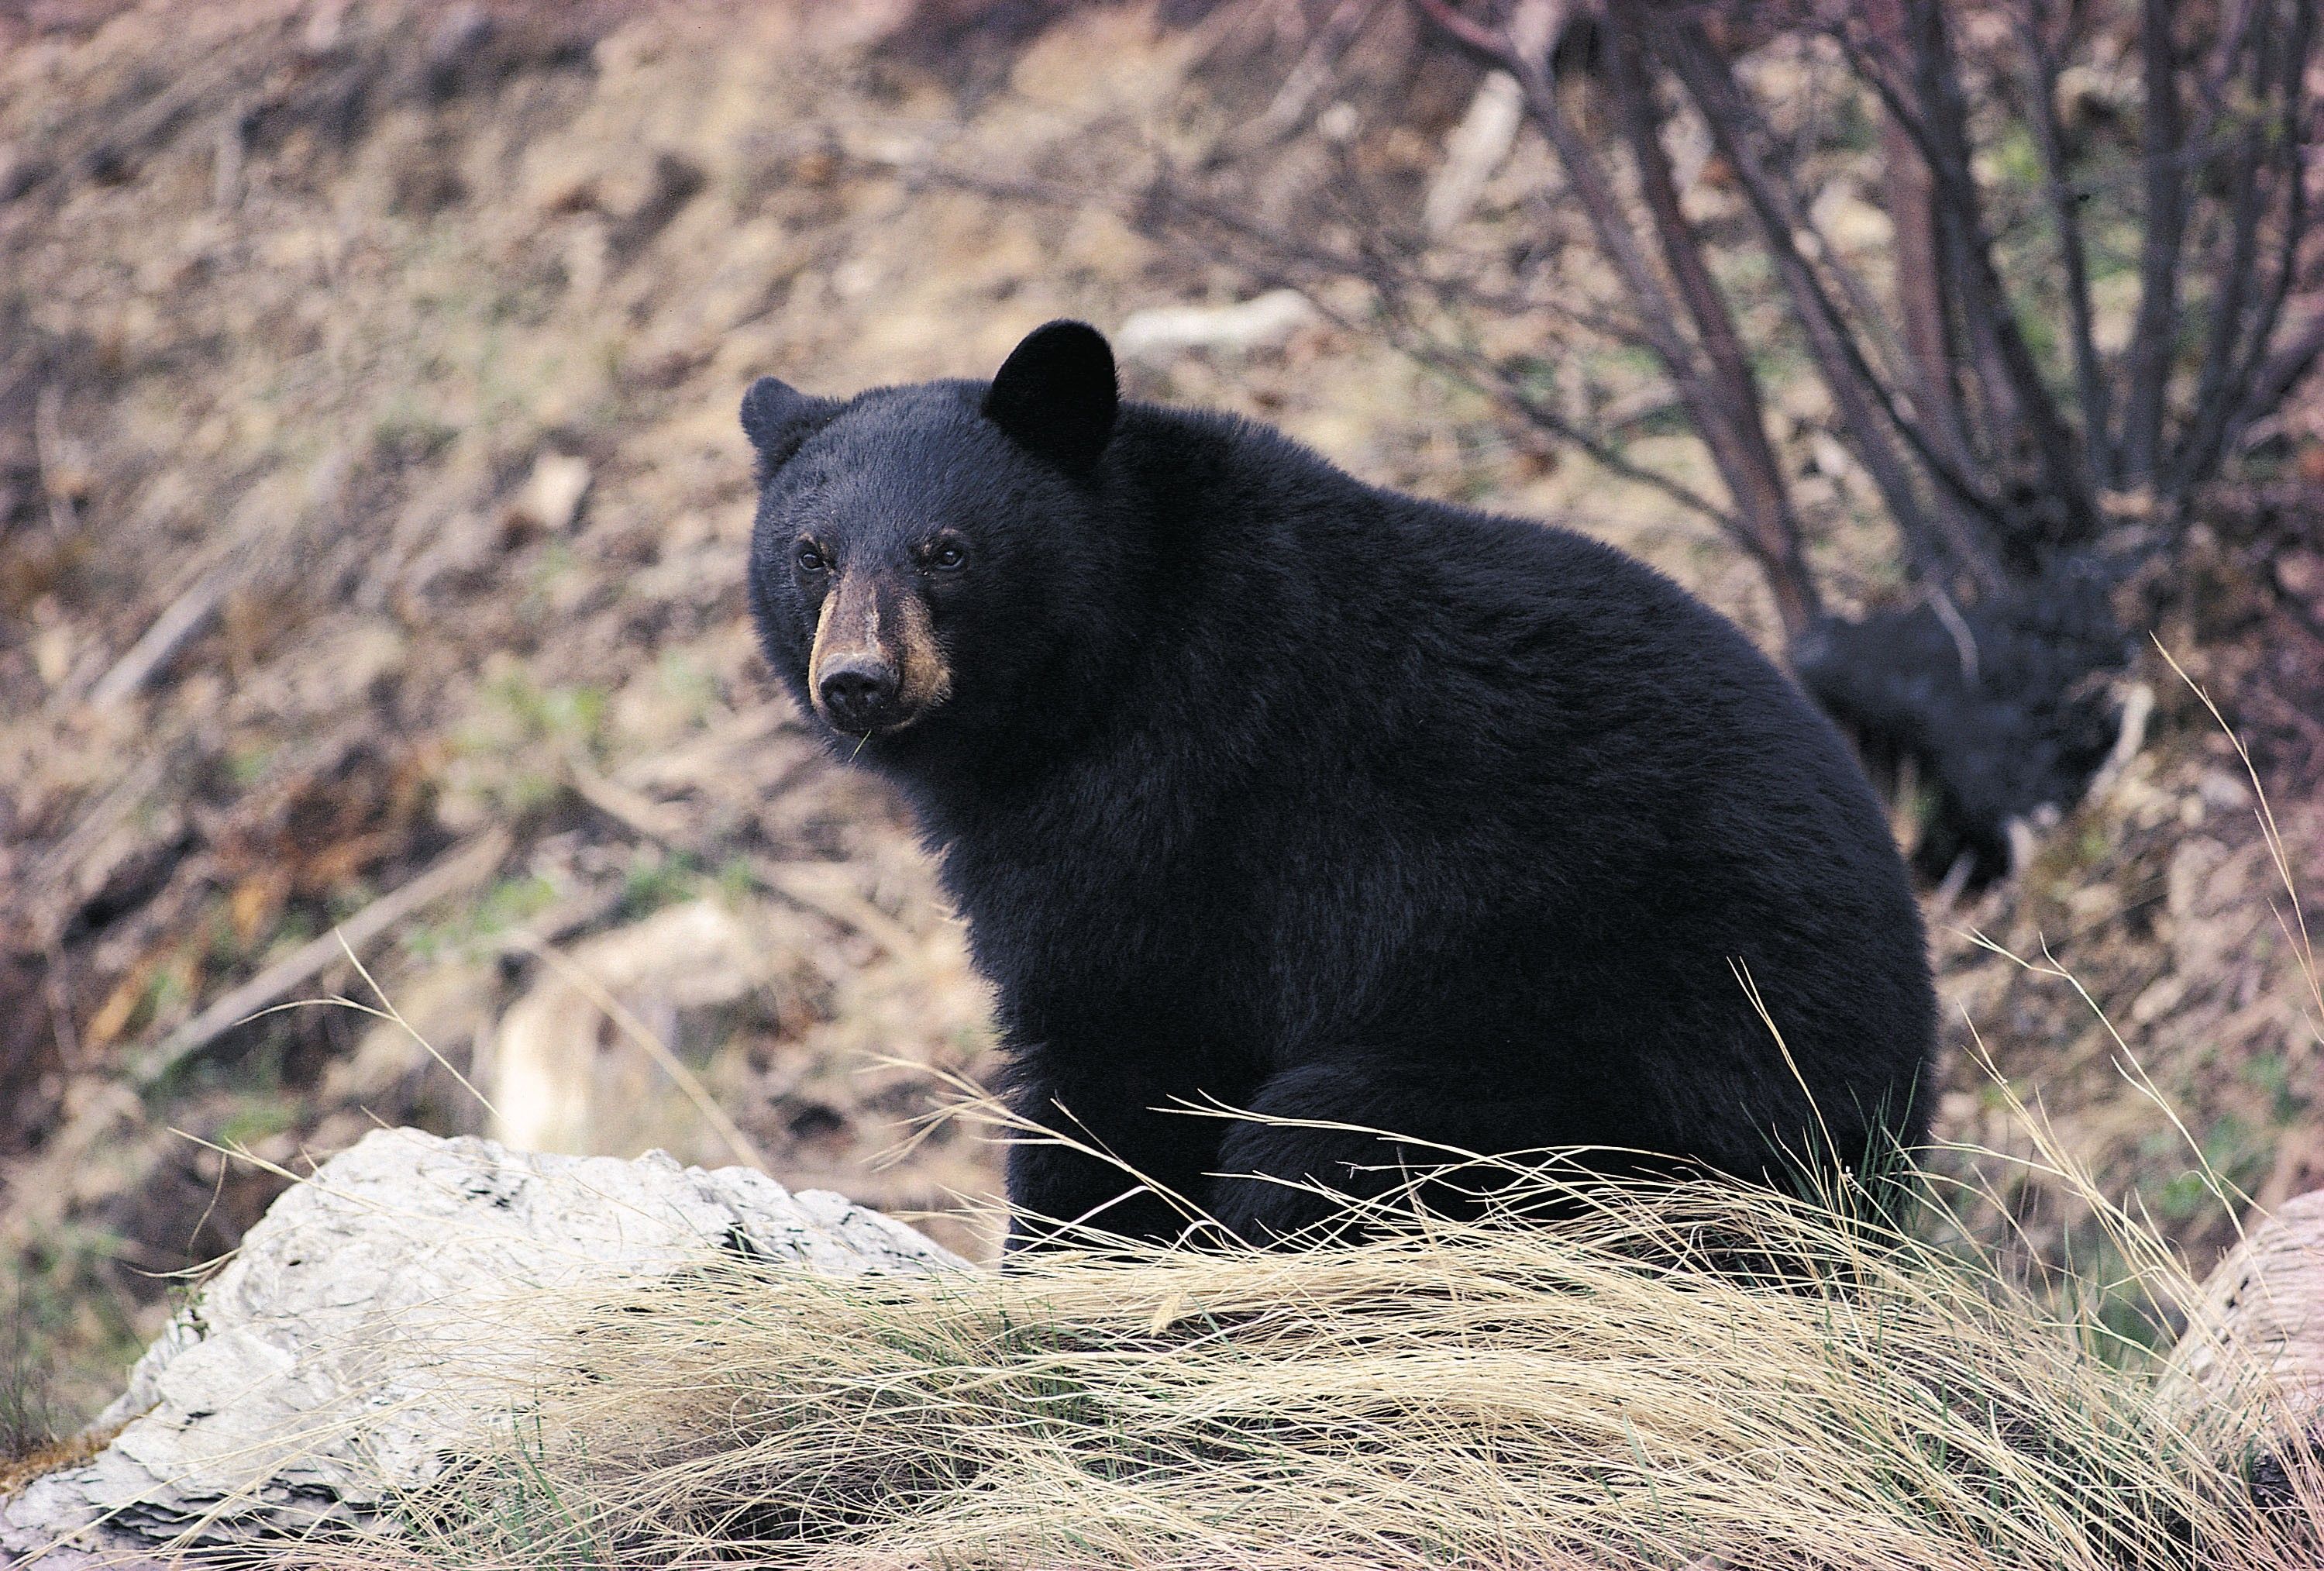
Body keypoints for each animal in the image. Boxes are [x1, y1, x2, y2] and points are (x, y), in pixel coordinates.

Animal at [743, 320, 1936, 1250]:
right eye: (811, 553)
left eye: (944, 551)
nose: (857, 680)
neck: (1107, 651)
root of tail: (1880, 1159)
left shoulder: (1172, 803)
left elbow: (1121, 1042)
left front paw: (1061, 1256)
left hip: (1595, 1066)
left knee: (1322, 1137)